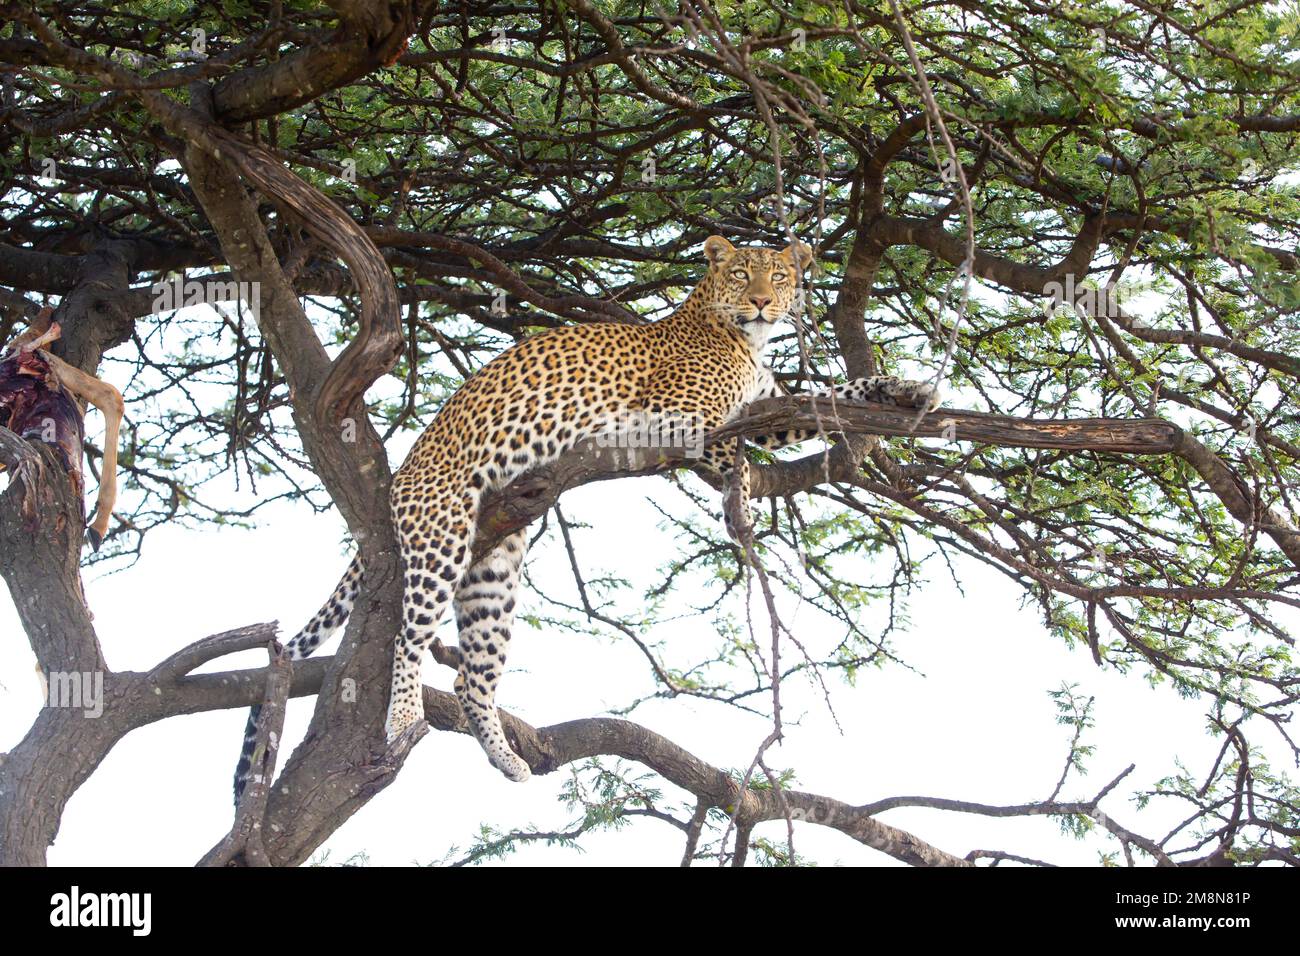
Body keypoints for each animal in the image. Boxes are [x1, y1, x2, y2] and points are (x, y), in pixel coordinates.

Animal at [232, 236, 940, 800]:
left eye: (781, 276)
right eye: (742, 274)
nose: (765, 303)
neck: (744, 338)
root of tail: (403, 474)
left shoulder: (769, 407)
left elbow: (826, 399)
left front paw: (906, 389)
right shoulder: (670, 415)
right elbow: (730, 447)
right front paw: (737, 494)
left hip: (493, 572)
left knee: (470, 677)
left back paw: (507, 760)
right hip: (442, 536)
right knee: (410, 638)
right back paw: (404, 719)